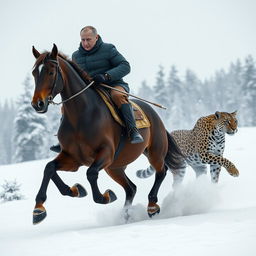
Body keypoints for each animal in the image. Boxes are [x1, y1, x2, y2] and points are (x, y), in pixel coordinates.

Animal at [30, 44, 184, 224]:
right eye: (34, 73)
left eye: (50, 72)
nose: (37, 104)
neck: (81, 116)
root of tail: (154, 114)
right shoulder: (73, 158)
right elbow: (49, 168)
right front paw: (43, 207)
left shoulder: (106, 153)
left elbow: (91, 174)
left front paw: (106, 196)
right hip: (114, 168)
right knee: (131, 188)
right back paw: (125, 216)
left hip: (154, 153)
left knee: (161, 172)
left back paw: (152, 206)